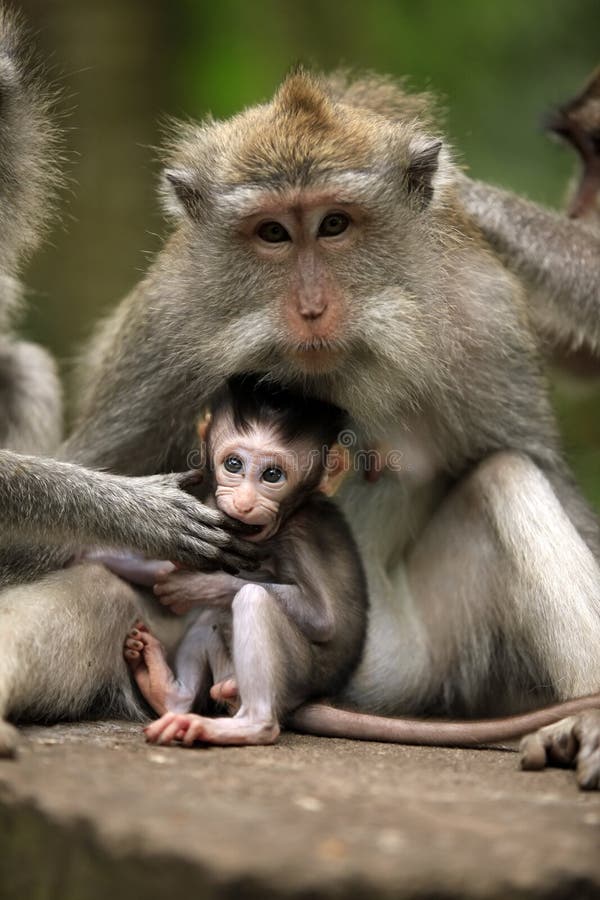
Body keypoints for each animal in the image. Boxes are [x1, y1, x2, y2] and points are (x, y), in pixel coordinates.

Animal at [113, 374, 368, 746]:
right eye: (233, 465)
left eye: (273, 475)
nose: (245, 503)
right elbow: (163, 561)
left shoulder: (301, 535)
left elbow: (323, 619)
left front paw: (195, 585)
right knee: (209, 621)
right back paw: (167, 693)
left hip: (298, 674)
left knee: (252, 598)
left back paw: (246, 725)